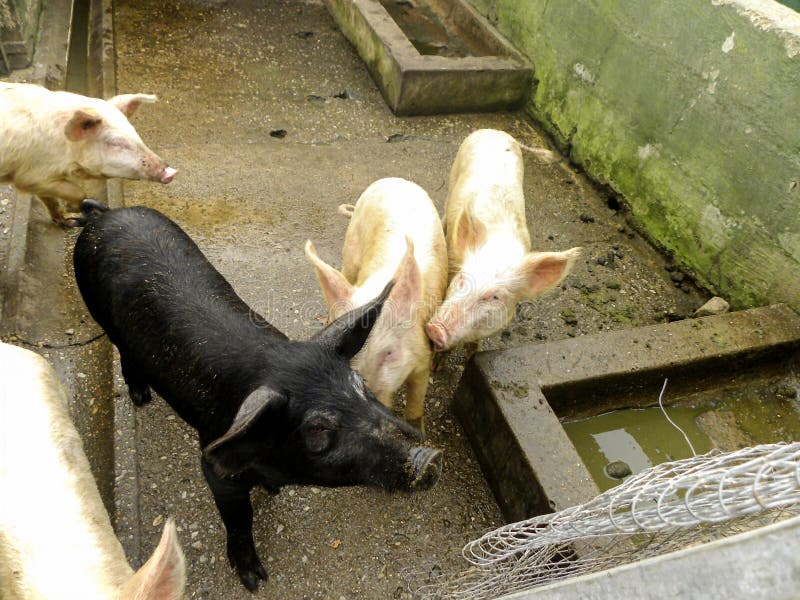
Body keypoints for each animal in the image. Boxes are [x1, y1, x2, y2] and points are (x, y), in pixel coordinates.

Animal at [0, 82, 176, 226]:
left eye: (135, 132)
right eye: (115, 142)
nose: (171, 171)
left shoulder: (38, 177)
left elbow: (49, 199)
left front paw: (67, 221)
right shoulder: (31, 175)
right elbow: (77, 192)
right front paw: (74, 211)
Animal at [72, 202, 444, 591]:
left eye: (360, 384)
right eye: (317, 428)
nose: (429, 456)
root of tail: (103, 214)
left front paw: (273, 492)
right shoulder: (215, 464)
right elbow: (239, 518)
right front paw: (254, 580)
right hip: (99, 314)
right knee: (122, 352)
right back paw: (141, 397)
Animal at [304, 177, 448, 434]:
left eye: (389, 353)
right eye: (345, 351)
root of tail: (394, 180)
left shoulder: (423, 354)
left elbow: (416, 403)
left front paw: (418, 431)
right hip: (351, 248)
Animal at [425, 129, 580, 353]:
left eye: (495, 297)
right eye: (462, 279)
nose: (436, 329)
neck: (500, 250)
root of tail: (497, 131)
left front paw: (473, 352)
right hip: (455, 170)